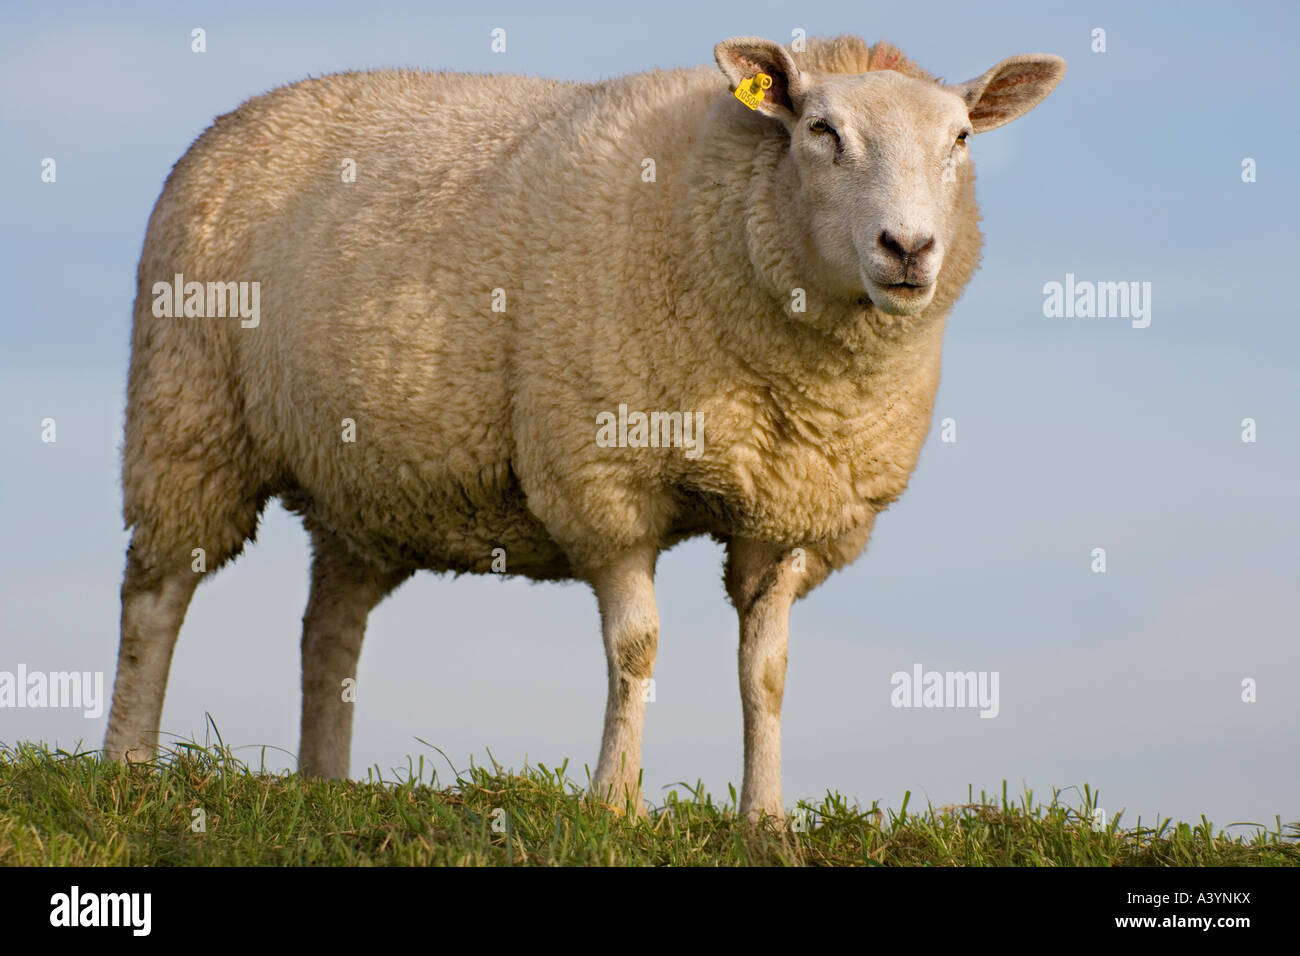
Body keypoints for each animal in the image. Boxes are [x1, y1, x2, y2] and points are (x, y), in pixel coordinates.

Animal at [105, 34, 1065, 821]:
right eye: (822, 131)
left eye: (962, 140)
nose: (909, 250)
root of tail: (240, 115)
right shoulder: (605, 475)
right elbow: (636, 647)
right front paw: (615, 804)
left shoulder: (794, 509)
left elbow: (767, 669)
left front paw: (766, 820)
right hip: (186, 414)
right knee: (156, 596)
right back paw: (128, 764)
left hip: (363, 482)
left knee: (329, 630)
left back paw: (326, 785)